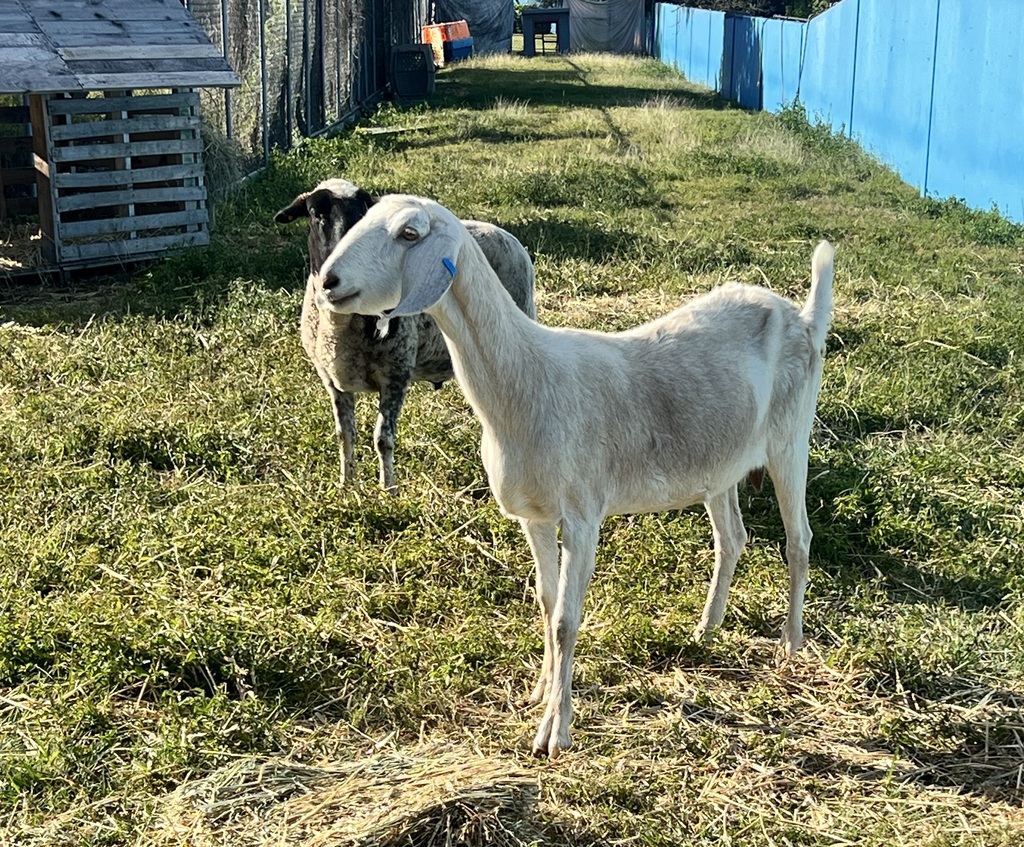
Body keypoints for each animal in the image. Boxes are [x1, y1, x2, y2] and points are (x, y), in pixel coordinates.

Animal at [275, 179, 536, 491]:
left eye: (364, 213)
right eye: (315, 213)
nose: (336, 276)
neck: (343, 326)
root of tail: (501, 232)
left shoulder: (396, 373)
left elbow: (383, 439)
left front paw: (388, 490)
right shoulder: (332, 380)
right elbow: (345, 435)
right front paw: (346, 485)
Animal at [316, 194, 834, 758]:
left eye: (409, 233)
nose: (328, 281)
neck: (525, 380)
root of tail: (802, 316)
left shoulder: (583, 513)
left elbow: (567, 620)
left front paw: (554, 730)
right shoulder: (535, 515)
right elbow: (546, 603)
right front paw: (541, 689)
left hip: (790, 438)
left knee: (799, 540)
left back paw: (790, 644)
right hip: (720, 465)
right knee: (733, 538)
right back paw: (706, 629)